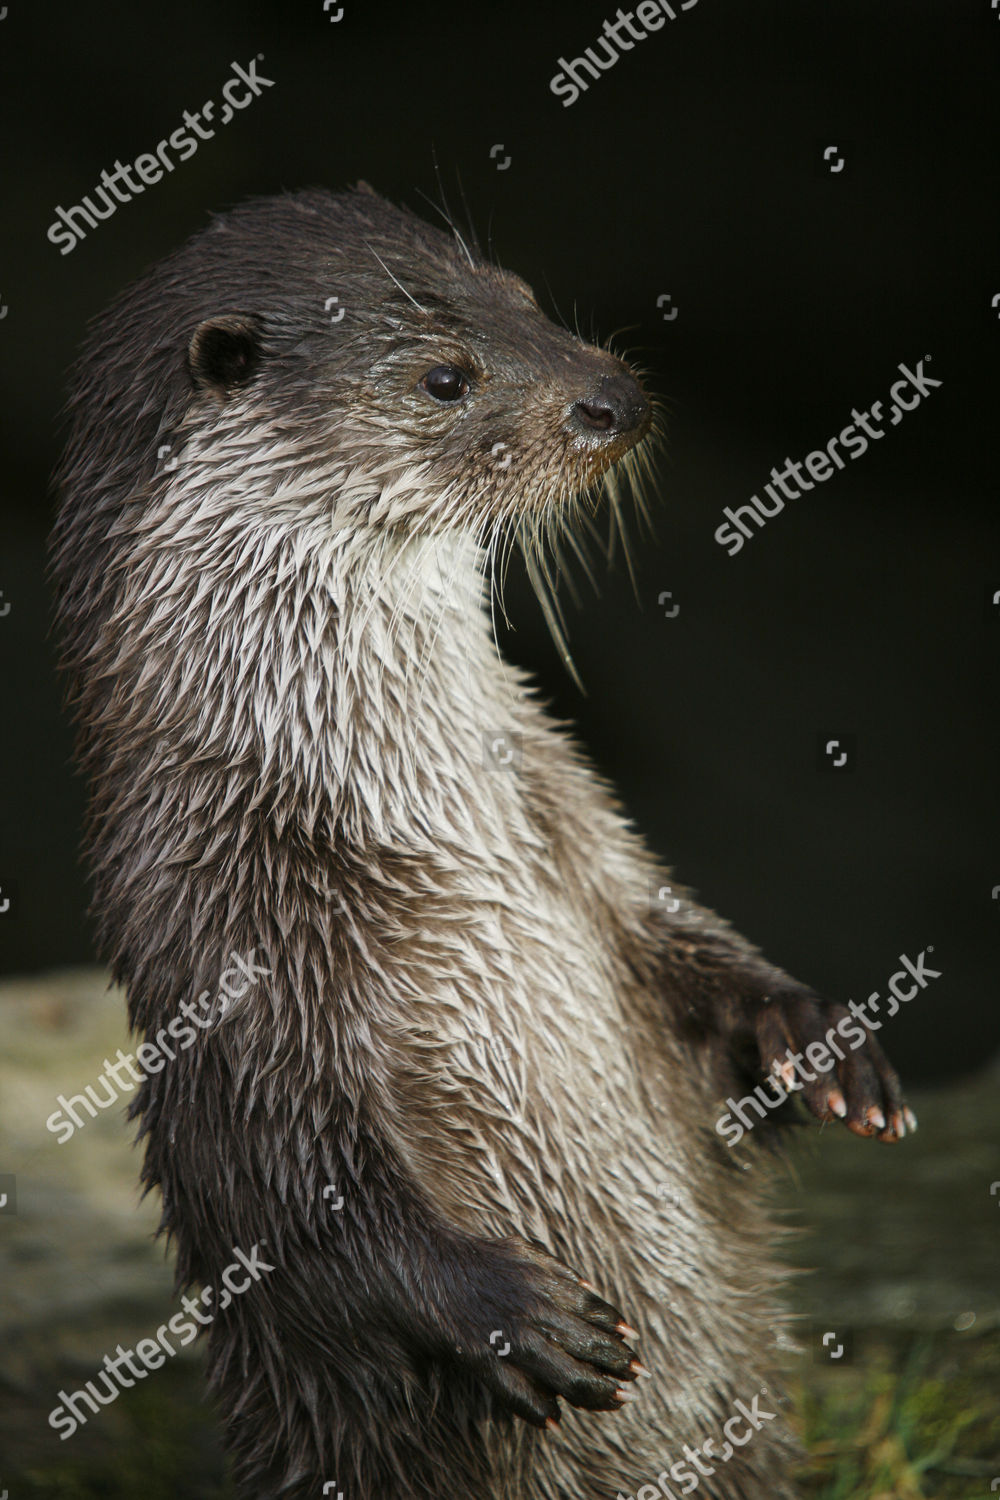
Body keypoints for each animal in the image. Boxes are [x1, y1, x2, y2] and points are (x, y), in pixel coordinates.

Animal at [50, 185, 912, 1500]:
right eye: (444, 378)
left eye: (522, 297)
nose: (610, 397)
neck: (420, 812)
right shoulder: (216, 936)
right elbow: (282, 1179)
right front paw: (510, 1320)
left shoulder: (581, 821)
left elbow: (675, 930)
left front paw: (817, 1042)